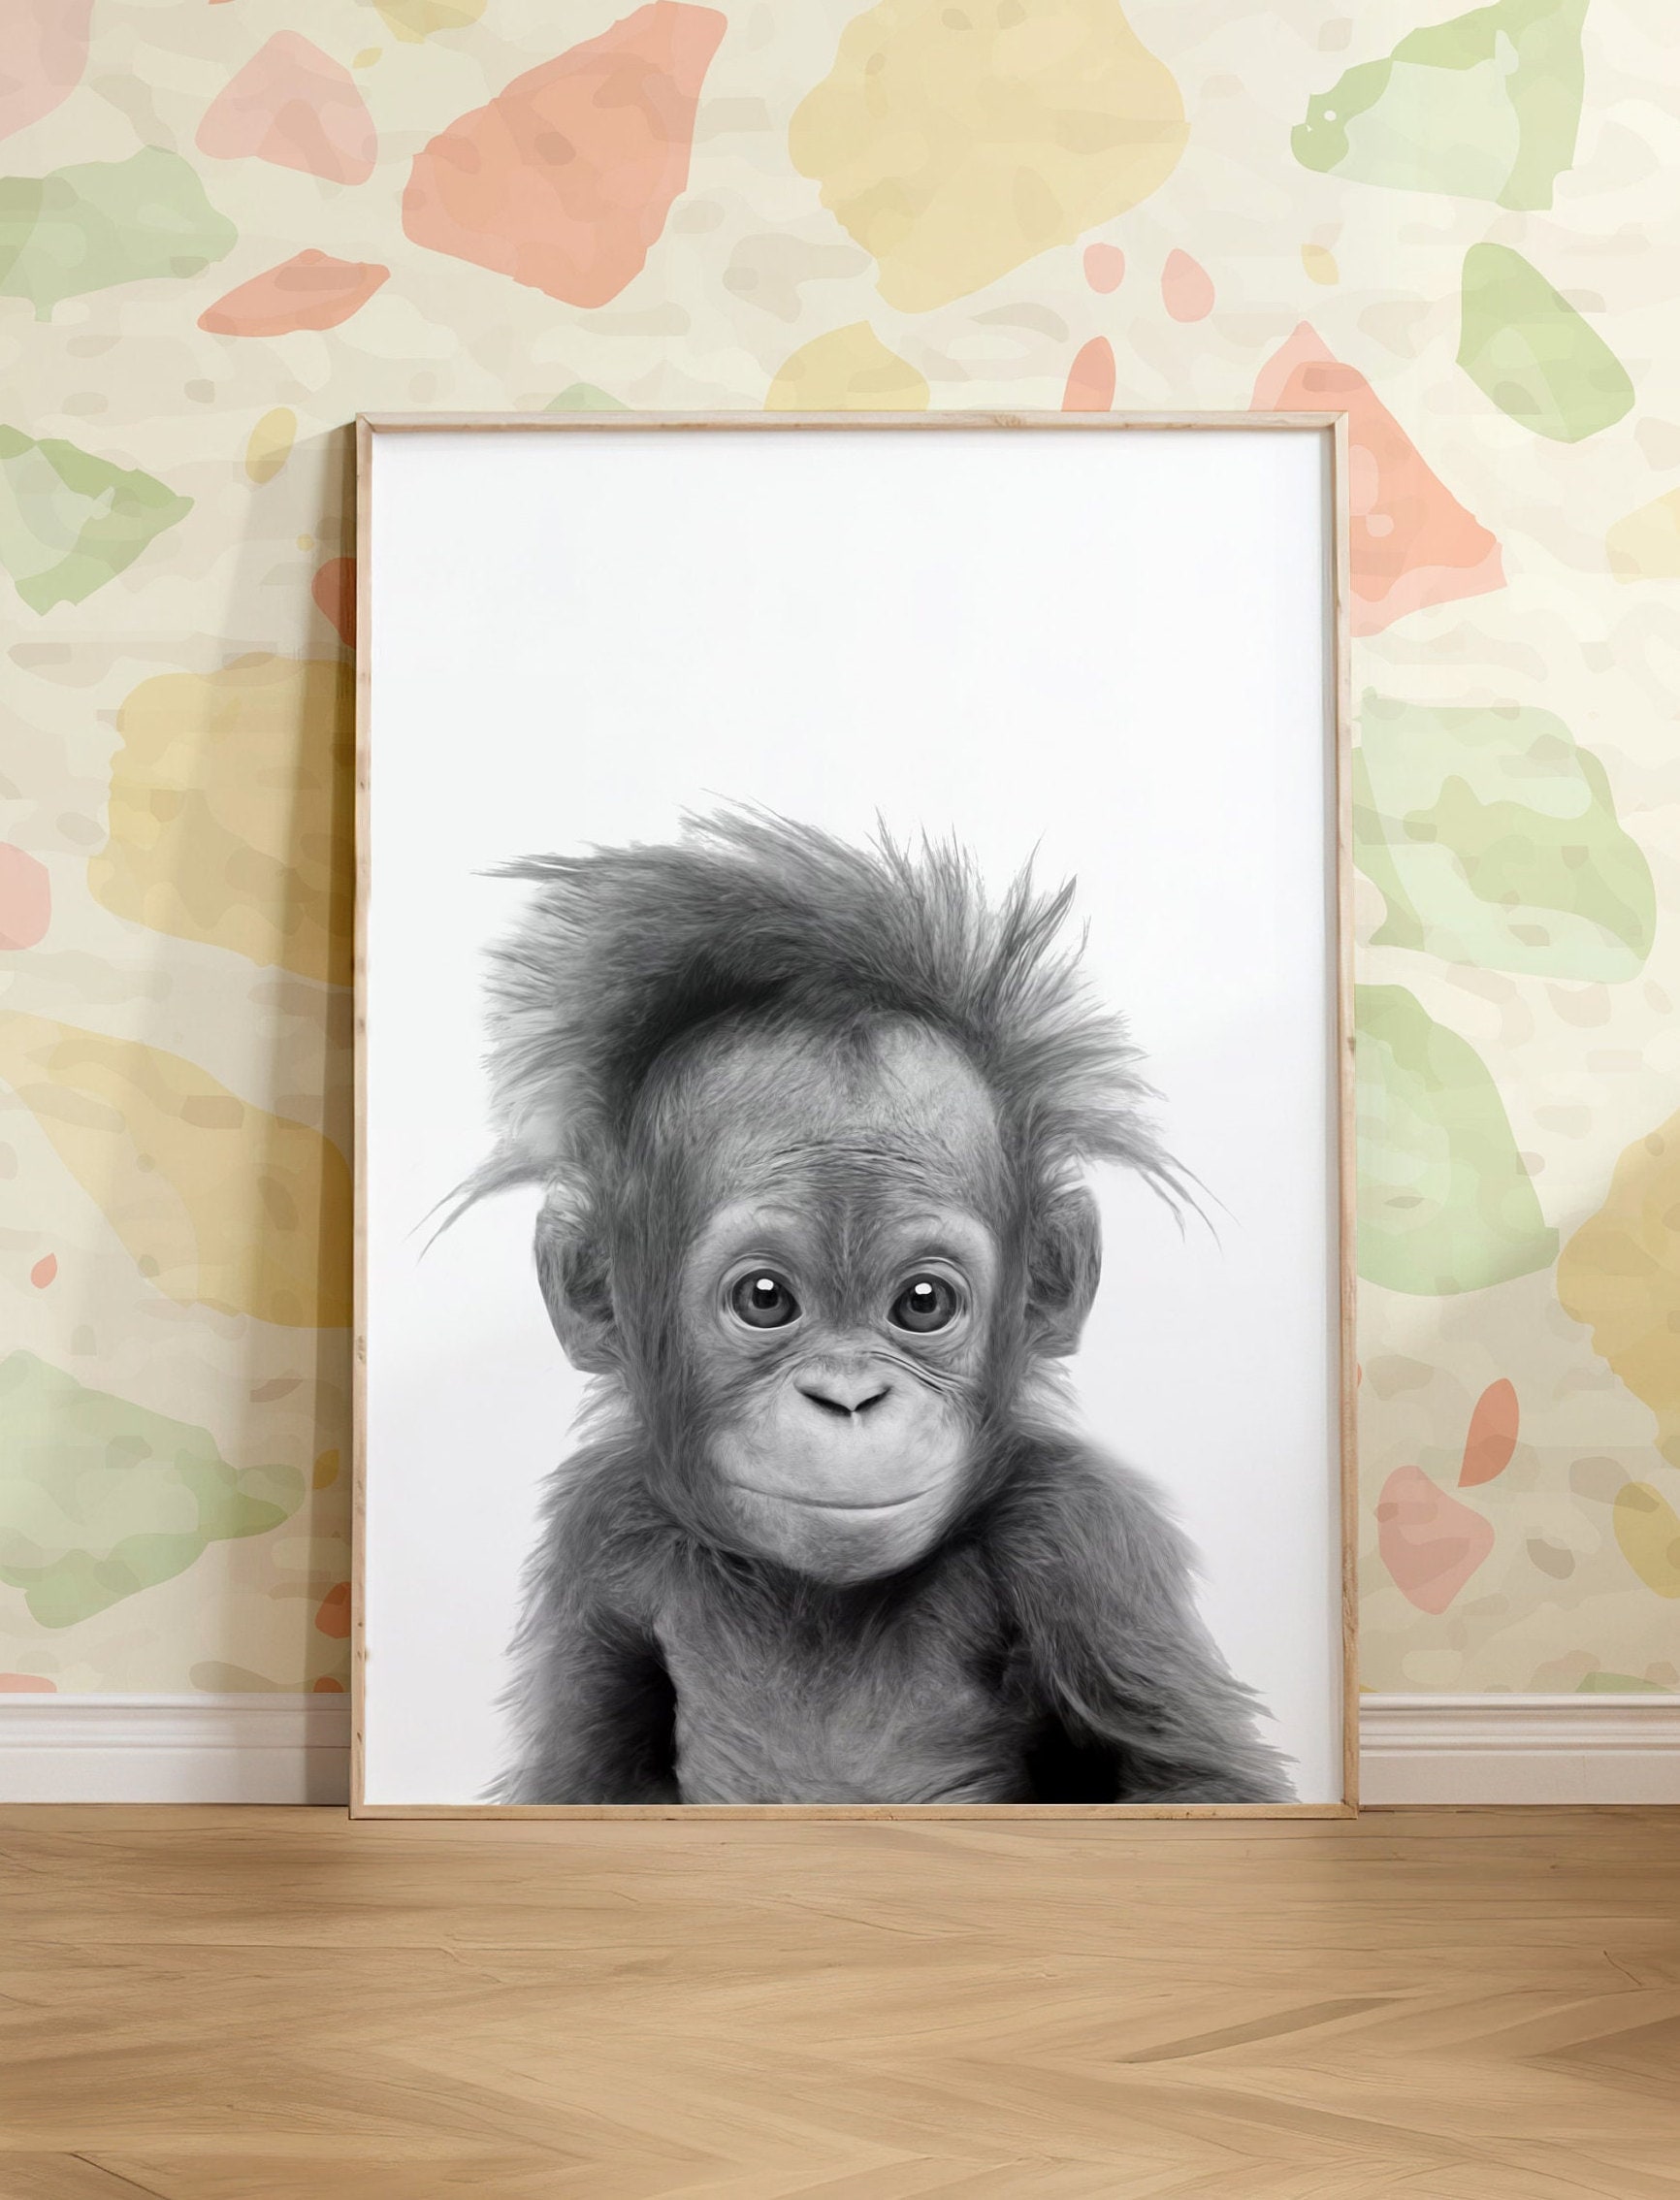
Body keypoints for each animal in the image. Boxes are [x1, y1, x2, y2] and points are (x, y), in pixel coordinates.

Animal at [458, 810, 1295, 1806]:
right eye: (766, 1299)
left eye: (922, 1303)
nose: (850, 1398)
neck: (818, 1595)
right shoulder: (598, 1531)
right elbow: (585, 1774)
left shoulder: (1083, 1534)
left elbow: (1197, 1776)